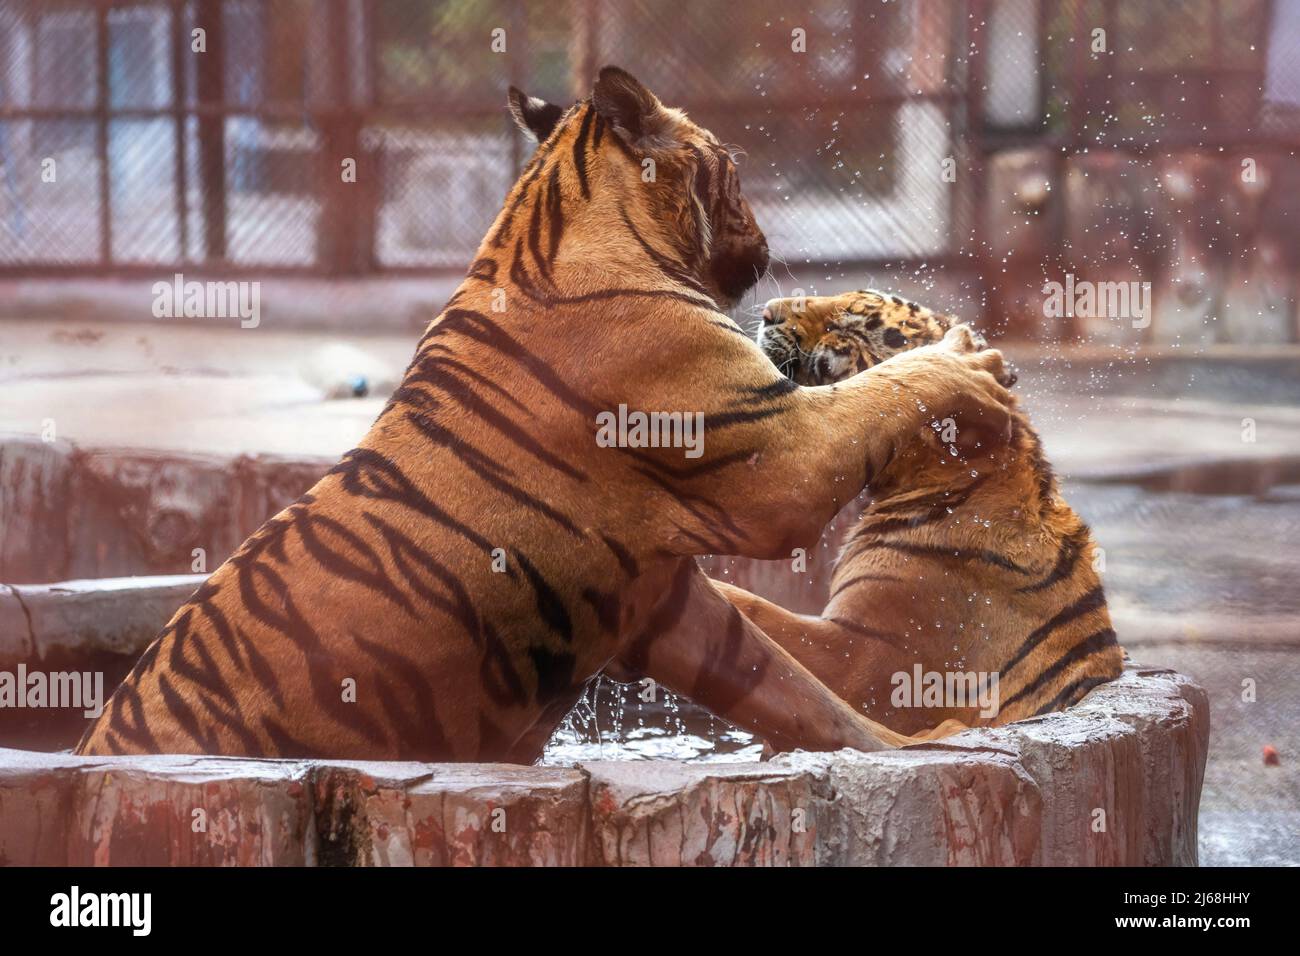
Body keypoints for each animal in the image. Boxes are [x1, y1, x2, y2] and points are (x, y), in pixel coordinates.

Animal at [77, 68, 1011, 762]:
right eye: (735, 167)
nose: (768, 239)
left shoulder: (664, 601)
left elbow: (797, 691)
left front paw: (916, 743)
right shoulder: (779, 453)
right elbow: (877, 395)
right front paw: (969, 363)